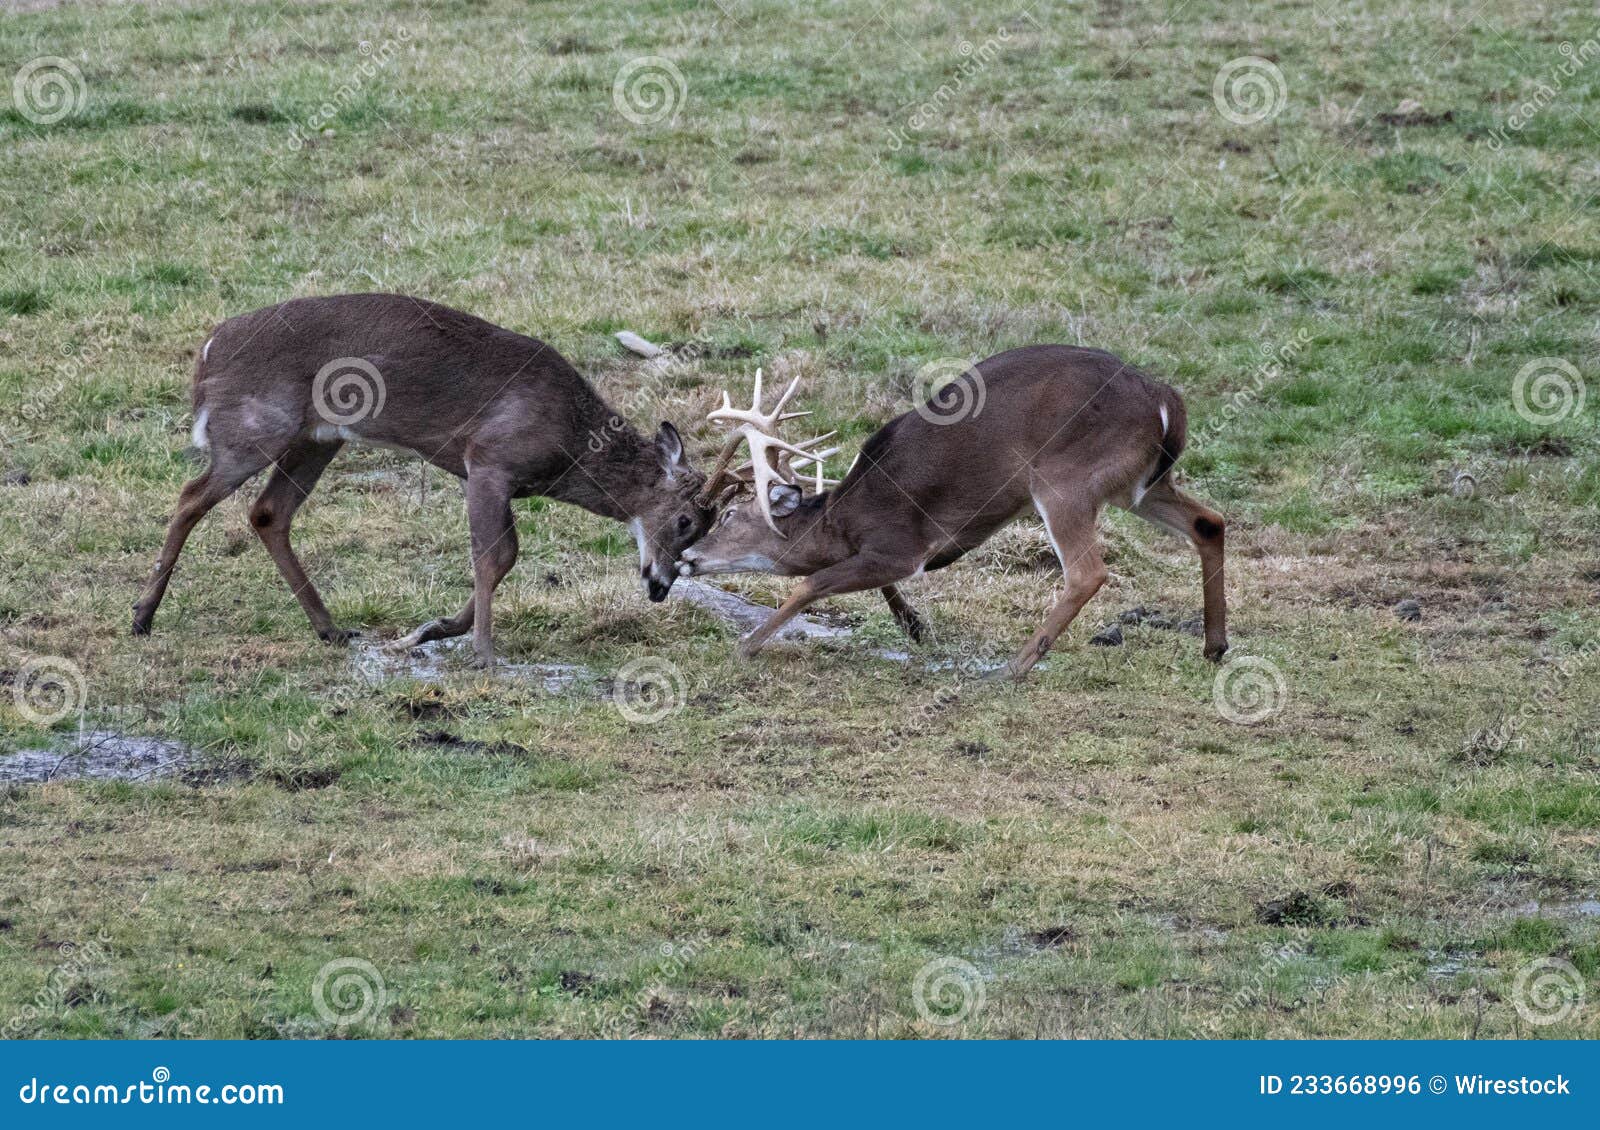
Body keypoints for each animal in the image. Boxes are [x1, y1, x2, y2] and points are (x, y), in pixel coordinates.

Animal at [131, 293, 719, 666]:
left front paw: (434, 630)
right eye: (685, 520)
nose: (661, 587)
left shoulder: (487, 476)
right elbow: (494, 556)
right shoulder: (488, 460)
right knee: (191, 496)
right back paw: (142, 617)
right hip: (254, 429)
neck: (570, 442)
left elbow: (507, 555)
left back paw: (331, 629)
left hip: (318, 438)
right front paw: (483, 653)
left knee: (268, 512)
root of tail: (209, 350)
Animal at [675, 346, 1229, 679]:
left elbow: (812, 582)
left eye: (728, 517)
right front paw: (914, 626)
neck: (843, 520)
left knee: (1088, 572)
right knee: (1209, 522)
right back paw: (1214, 645)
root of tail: (1165, 400)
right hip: (1138, 485)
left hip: (1065, 477)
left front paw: (746, 645)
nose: (686, 557)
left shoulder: (901, 545)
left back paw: (1014, 667)